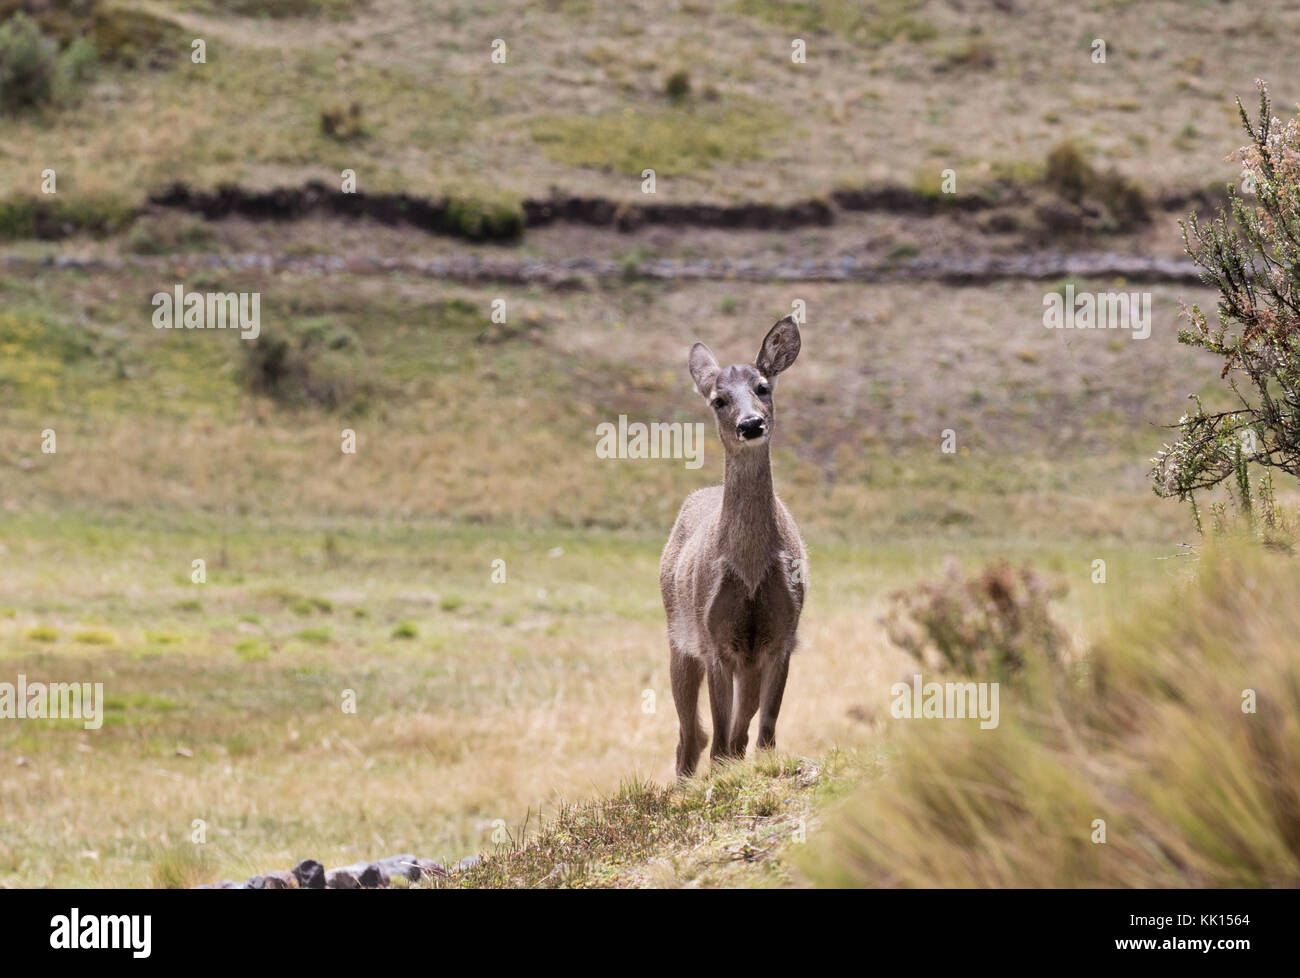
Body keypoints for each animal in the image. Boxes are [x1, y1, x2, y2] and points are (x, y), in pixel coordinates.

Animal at [659, 315, 806, 778]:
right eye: (717, 400)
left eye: (763, 386)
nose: (751, 424)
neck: (751, 569)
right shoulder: (713, 639)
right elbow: (722, 740)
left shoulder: (781, 636)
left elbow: (762, 735)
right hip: (678, 637)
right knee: (692, 734)